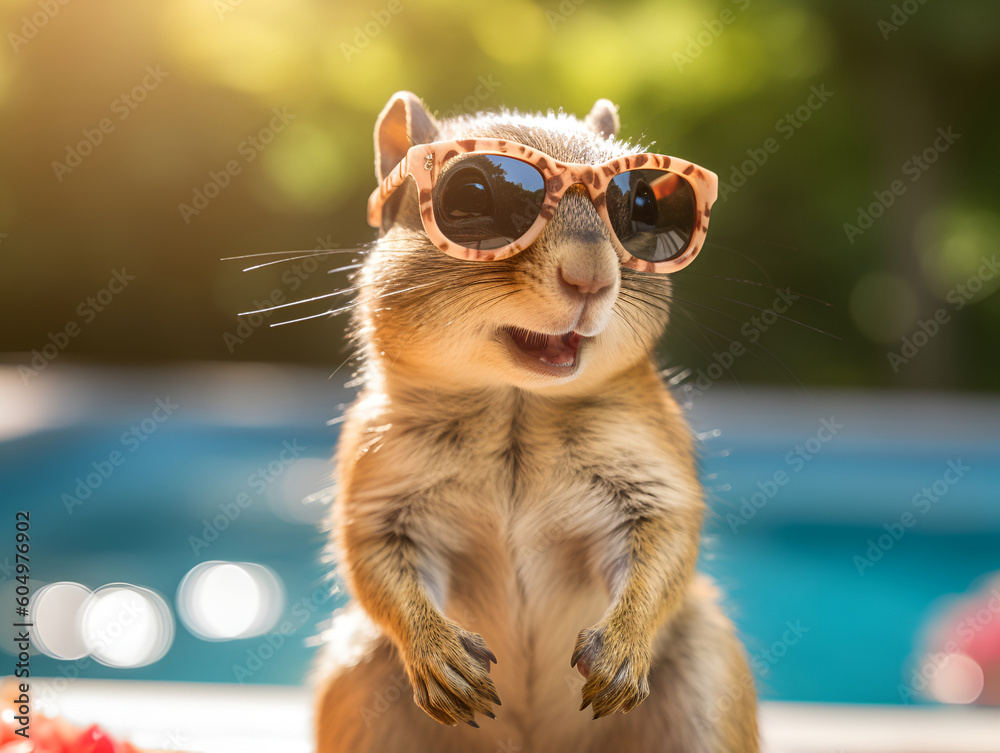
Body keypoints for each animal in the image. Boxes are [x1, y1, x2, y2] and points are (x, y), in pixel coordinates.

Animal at [314, 91, 759, 753]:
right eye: (470, 195)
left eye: (644, 205)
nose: (591, 277)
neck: (516, 409)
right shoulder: (380, 488)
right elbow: (373, 563)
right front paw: (437, 653)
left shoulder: (651, 473)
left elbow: (667, 543)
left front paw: (622, 648)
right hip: (354, 680)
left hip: (706, 675)